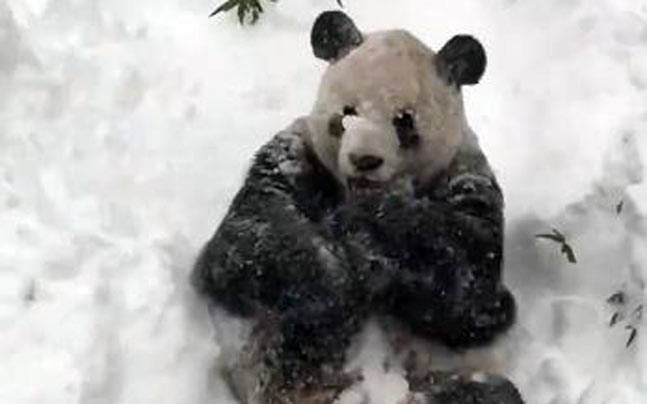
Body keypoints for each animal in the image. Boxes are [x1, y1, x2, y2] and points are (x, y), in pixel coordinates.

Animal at [193, 10, 522, 404]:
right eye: (347, 113)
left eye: (404, 120)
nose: (365, 159)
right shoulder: (293, 157)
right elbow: (245, 241)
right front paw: (333, 289)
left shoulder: (468, 177)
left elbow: (471, 287)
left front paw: (363, 225)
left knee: (491, 392)